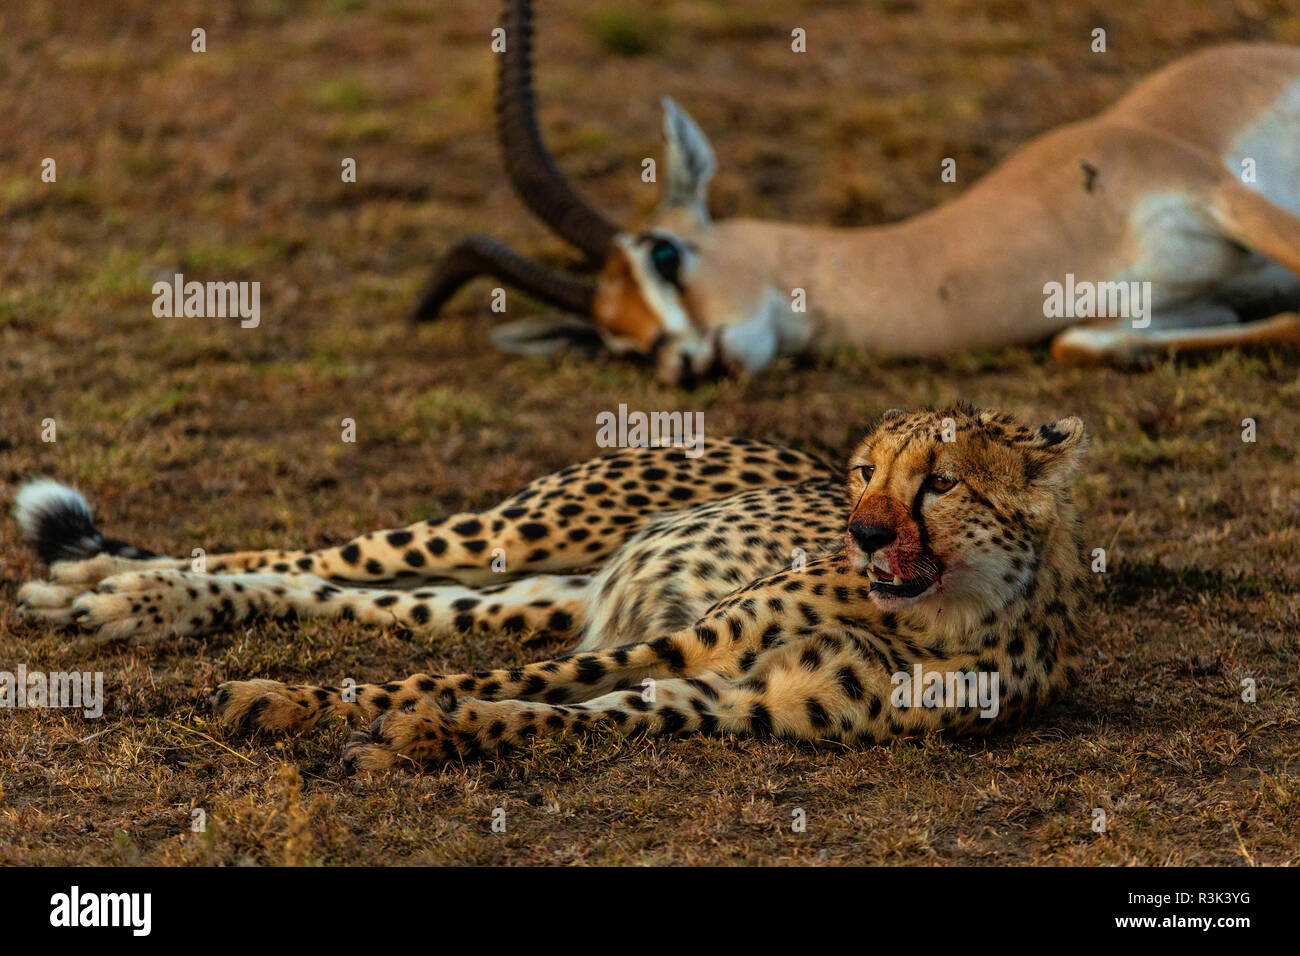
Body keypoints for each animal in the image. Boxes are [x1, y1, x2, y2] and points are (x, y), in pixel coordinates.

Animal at [13, 404, 1089, 771]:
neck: (938, 613)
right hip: (522, 527)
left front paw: (432, 737)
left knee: (346, 598)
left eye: (938, 481)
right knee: (317, 558)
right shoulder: (694, 640)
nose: (860, 528)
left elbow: (555, 709)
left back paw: (125, 594)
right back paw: (108, 581)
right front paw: (290, 704)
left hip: (535, 589)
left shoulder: (742, 695)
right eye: (869, 470)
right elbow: (464, 679)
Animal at [414, 0, 1300, 384]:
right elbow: (1083, 343)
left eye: (664, 253)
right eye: (616, 345)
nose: (685, 366)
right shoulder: (1135, 311)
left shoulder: (1215, 192)